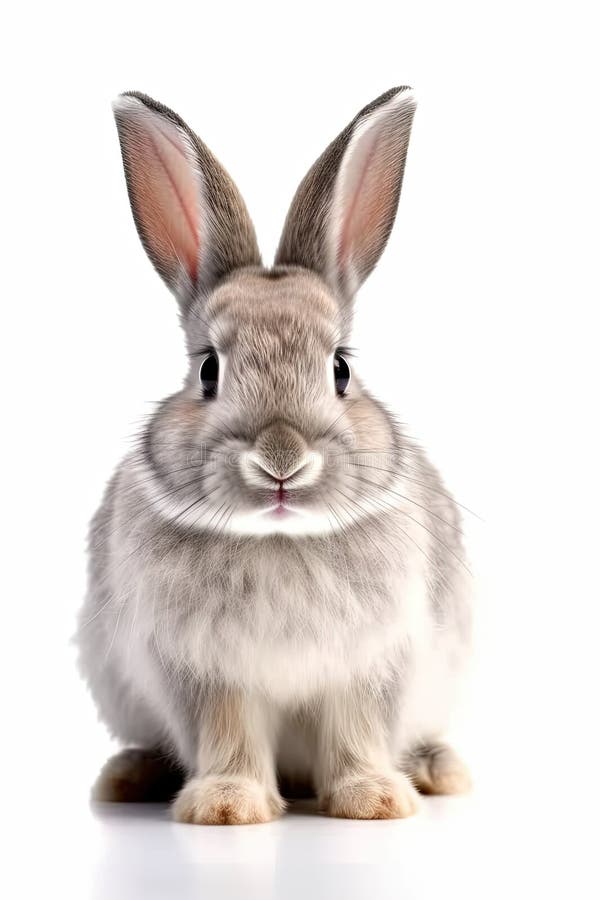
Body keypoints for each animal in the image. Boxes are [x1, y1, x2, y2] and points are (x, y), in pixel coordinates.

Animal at [76, 86, 473, 825]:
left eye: (340, 369)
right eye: (208, 370)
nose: (281, 461)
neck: (278, 539)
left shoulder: (369, 666)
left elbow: (356, 731)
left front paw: (375, 801)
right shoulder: (205, 673)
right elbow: (227, 734)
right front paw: (228, 807)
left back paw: (440, 771)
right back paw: (127, 777)